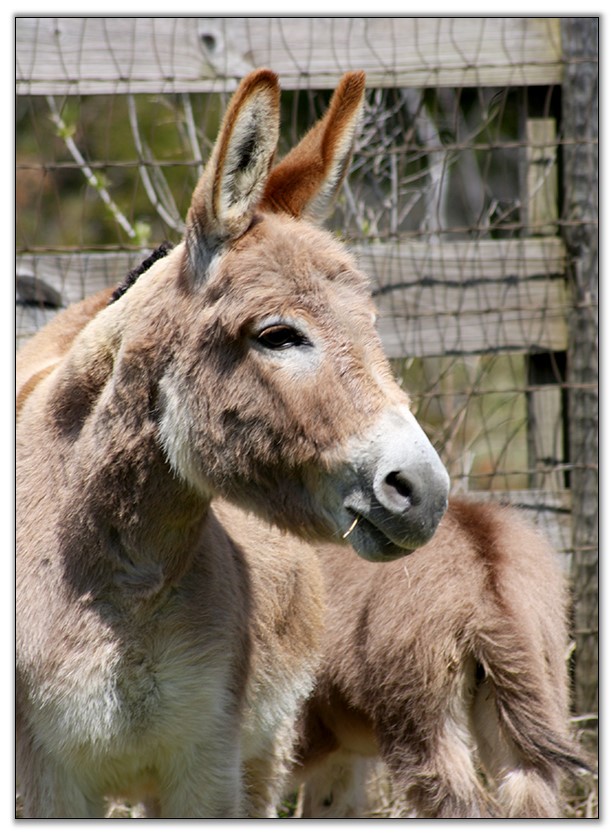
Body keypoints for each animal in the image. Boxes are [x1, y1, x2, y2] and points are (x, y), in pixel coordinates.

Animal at [16, 69, 449, 817]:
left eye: (371, 325)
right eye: (277, 335)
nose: (424, 490)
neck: (124, 579)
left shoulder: (207, 764)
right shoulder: (43, 778)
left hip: (264, 753)